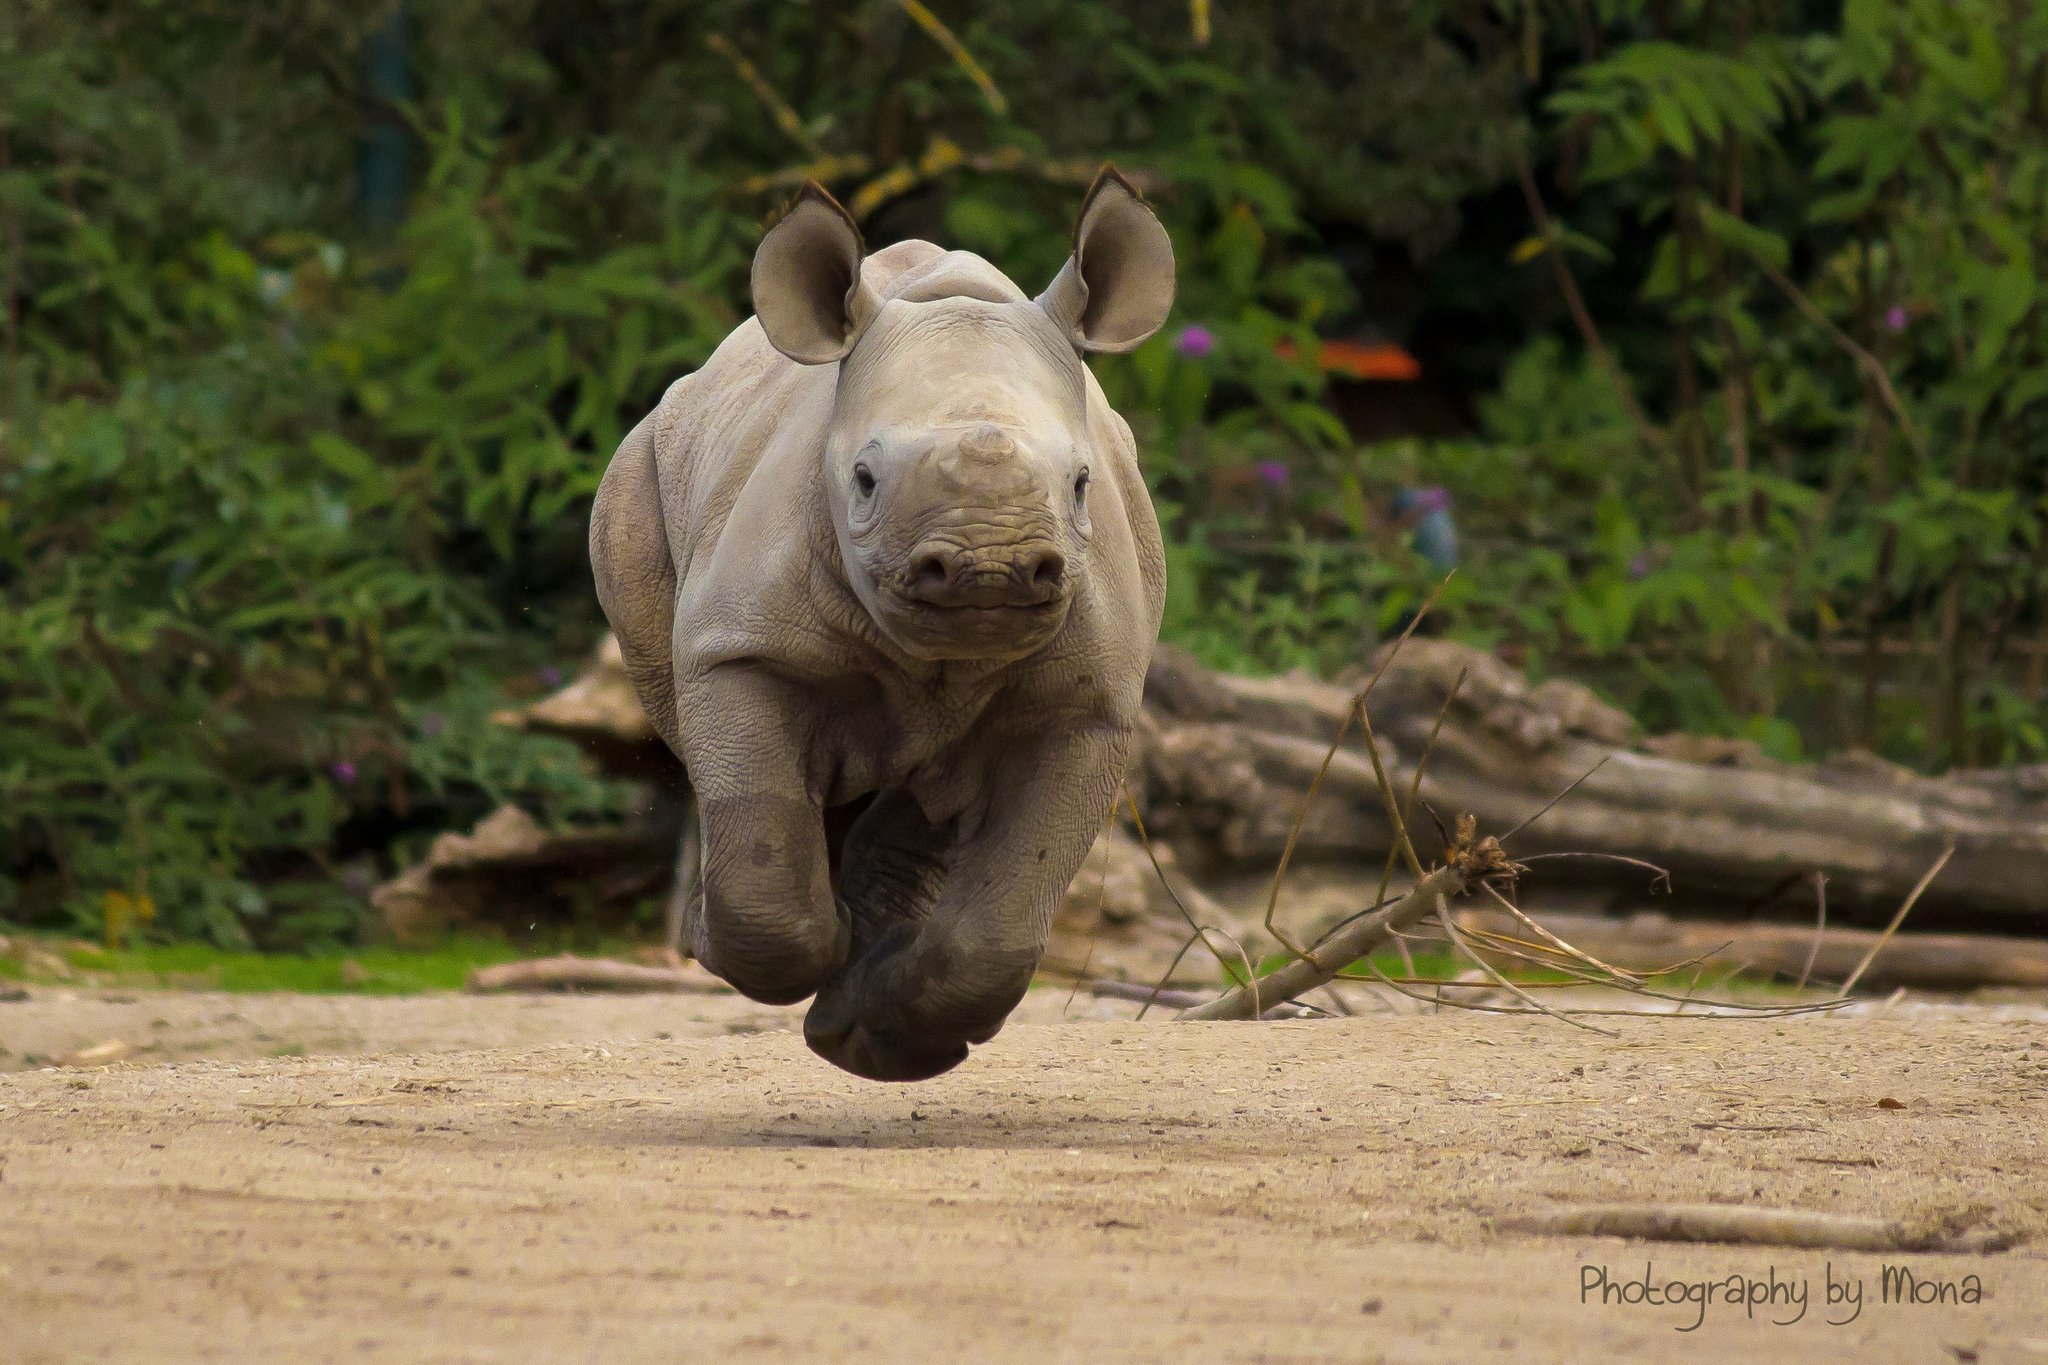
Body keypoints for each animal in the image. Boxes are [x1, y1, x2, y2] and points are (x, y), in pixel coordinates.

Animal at [589, 169, 1173, 1081]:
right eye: (863, 479)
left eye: (1081, 484)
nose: (988, 569)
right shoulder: (742, 648)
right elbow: (762, 875)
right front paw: (730, 938)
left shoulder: (1088, 701)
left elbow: (1002, 923)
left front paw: (887, 1047)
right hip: (638, 474)